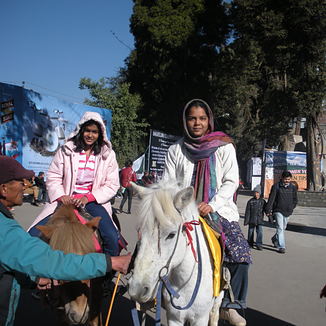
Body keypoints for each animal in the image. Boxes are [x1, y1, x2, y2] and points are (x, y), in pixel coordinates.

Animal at [127, 182, 224, 324]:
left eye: (171, 235)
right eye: (139, 231)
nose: (137, 289)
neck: (185, 283)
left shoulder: (200, 318)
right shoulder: (174, 317)